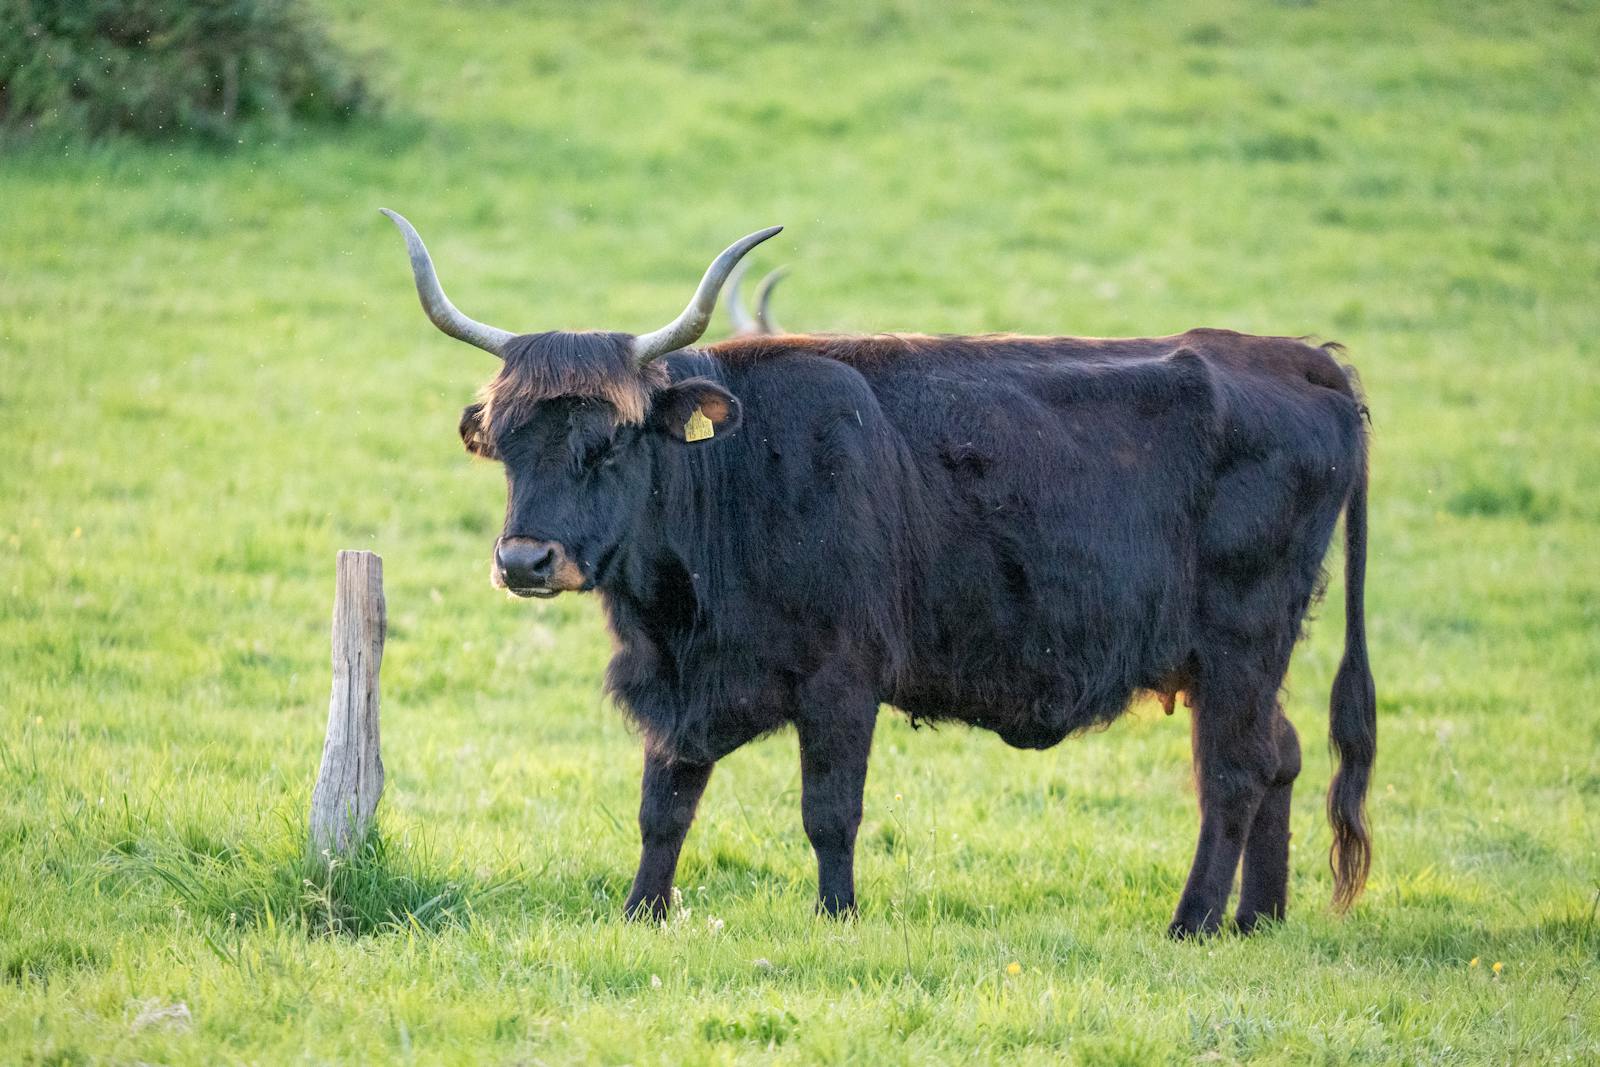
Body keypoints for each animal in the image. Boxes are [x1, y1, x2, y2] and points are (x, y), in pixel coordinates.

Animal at [380, 210, 1376, 937]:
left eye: (612, 440)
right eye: (510, 441)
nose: (525, 559)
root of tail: (1299, 357)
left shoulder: (841, 677)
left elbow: (830, 809)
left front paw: (837, 915)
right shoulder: (682, 687)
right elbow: (664, 804)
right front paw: (641, 912)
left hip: (1242, 640)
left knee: (1235, 772)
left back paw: (1194, 922)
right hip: (1240, 659)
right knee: (1282, 754)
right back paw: (1257, 919)